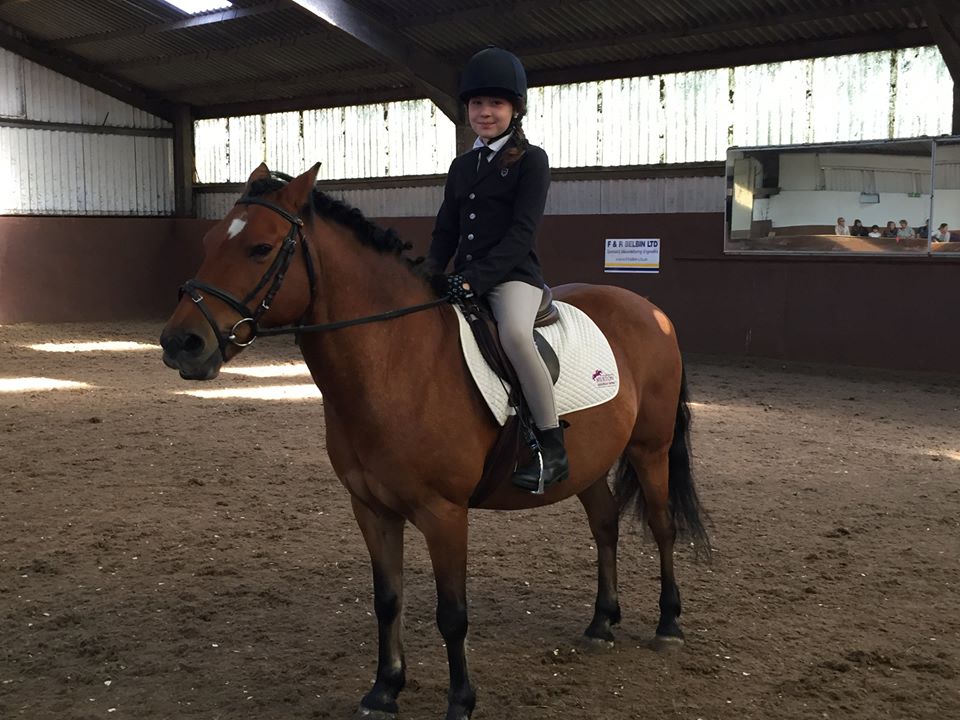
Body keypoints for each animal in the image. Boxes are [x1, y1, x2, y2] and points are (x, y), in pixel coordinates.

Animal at [160, 163, 710, 720]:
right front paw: (384, 691)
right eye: (207, 241)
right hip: (588, 463)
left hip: (650, 450)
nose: (180, 343)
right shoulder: (372, 508)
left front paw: (460, 701)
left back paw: (668, 624)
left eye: (261, 248)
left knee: (662, 527)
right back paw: (601, 623)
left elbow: (452, 613)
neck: (395, 361)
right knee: (605, 525)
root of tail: (650, 310)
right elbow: (387, 600)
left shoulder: (443, 513)